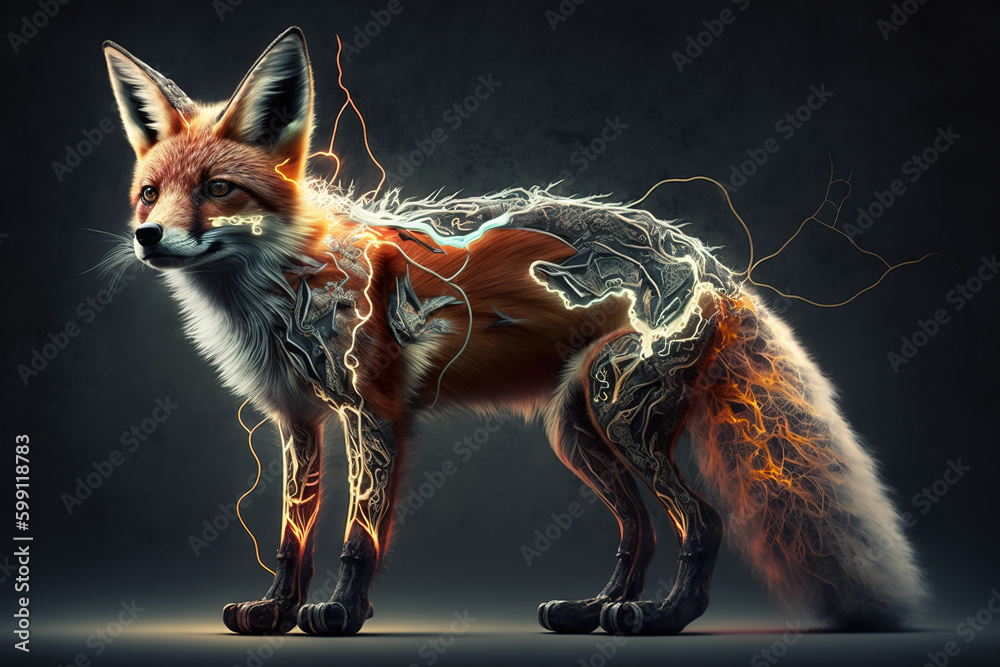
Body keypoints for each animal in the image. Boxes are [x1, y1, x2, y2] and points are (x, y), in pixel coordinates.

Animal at [102, 26, 927, 636]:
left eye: (218, 188)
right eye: (148, 192)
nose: (148, 237)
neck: (280, 291)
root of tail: (710, 264)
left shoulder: (373, 412)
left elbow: (357, 538)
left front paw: (339, 612)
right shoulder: (298, 420)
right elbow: (289, 536)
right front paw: (277, 610)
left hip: (622, 417)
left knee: (703, 522)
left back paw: (661, 616)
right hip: (577, 432)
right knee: (639, 528)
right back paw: (598, 607)